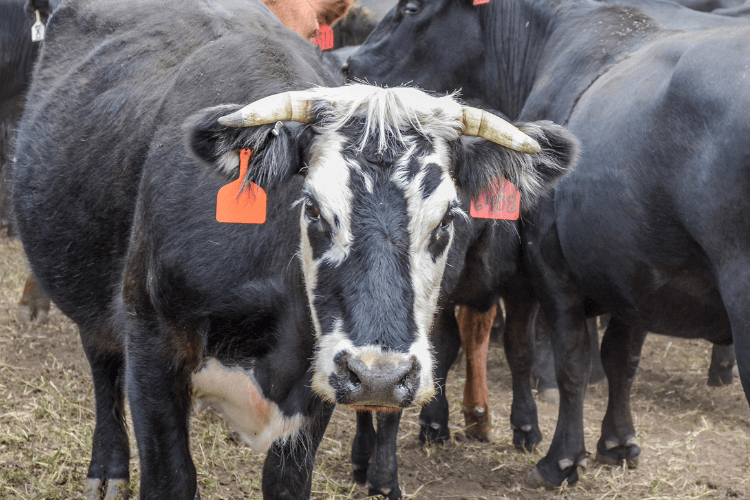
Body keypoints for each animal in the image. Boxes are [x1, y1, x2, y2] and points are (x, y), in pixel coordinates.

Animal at [11, 0, 577, 498]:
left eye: (446, 221)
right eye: (314, 210)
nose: (378, 376)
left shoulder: (316, 382)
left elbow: (287, 480)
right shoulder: (153, 348)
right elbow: (171, 478)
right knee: (101, 364)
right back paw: (107, 469)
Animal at [346, 0, 750, 489]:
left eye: (408, 7)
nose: (351, 64)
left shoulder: (554, 273)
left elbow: (572, 365)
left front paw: (561, 460)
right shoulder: (633, 276)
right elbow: (621, 361)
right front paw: (617, 443)